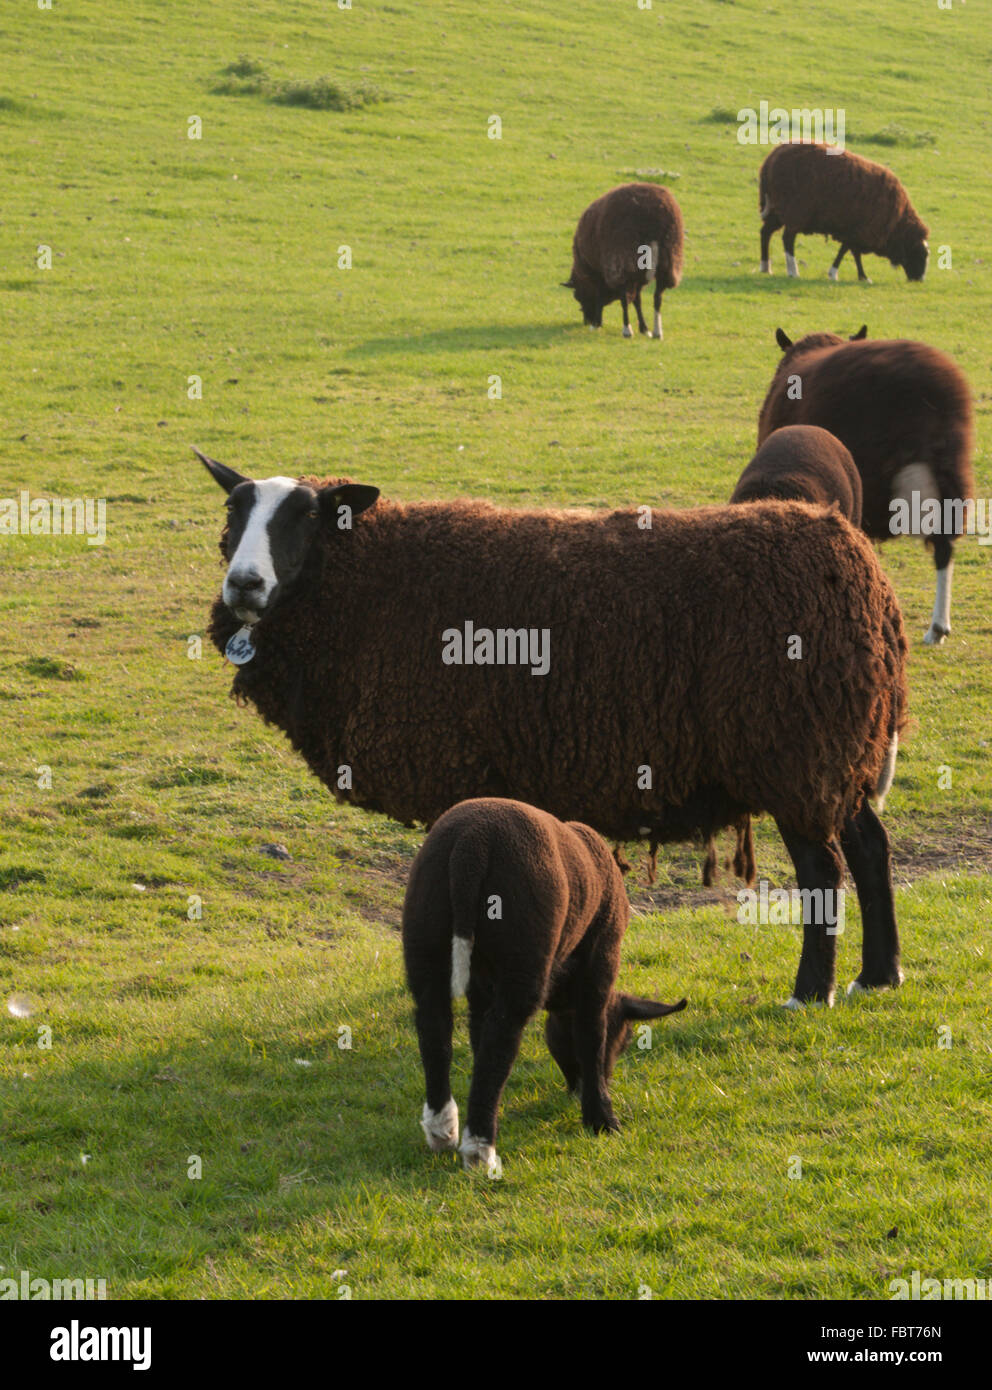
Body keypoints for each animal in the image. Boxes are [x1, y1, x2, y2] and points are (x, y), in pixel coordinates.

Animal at [198, 448, 909, 1007]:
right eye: (234, 514)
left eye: (307, 517)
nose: (244, 585)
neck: (371, 587)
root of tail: (861, 570)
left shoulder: (455, 763)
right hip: (845, 750)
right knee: (871, 849)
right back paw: (878, 976)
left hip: (800, 750)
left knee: (824, 870)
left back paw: (810, 993)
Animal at [402, 797, 687, 1171]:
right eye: (624, 1039)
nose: (578, 1088)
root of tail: (470, 842)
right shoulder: (601, 960)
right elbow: (591, 1034)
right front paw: (601, 1118)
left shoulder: (482, 986)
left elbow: (477, 1035)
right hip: (523, 946)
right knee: (501, 1041)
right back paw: (481, 1150)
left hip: (426, 934)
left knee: (435, 1028)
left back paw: (442, 1129)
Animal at [562, 182, 683, 339]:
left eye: (578, 295)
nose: (587, 321)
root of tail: (653, 217)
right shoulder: (638, 277)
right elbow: (638, 300)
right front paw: (644, 328)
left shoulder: (600, 272)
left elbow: (602, 296)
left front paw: (596, 324)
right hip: (668, 260)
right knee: (657, 297)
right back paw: (657, 332)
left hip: (624, 260)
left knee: (625, 299)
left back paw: (627, 330)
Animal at [758, 142, 929, 282]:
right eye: (921, 255)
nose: (919, 280)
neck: (896, 223)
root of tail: (770, 161)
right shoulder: (858, 230)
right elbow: (847, 251)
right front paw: (838, 274)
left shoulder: (855, 231)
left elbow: (852, 252)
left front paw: (860, 276)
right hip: (795, 211)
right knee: (787, 238)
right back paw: (793, 271)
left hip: (776, 210)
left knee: (765, 232)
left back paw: (766, 267)